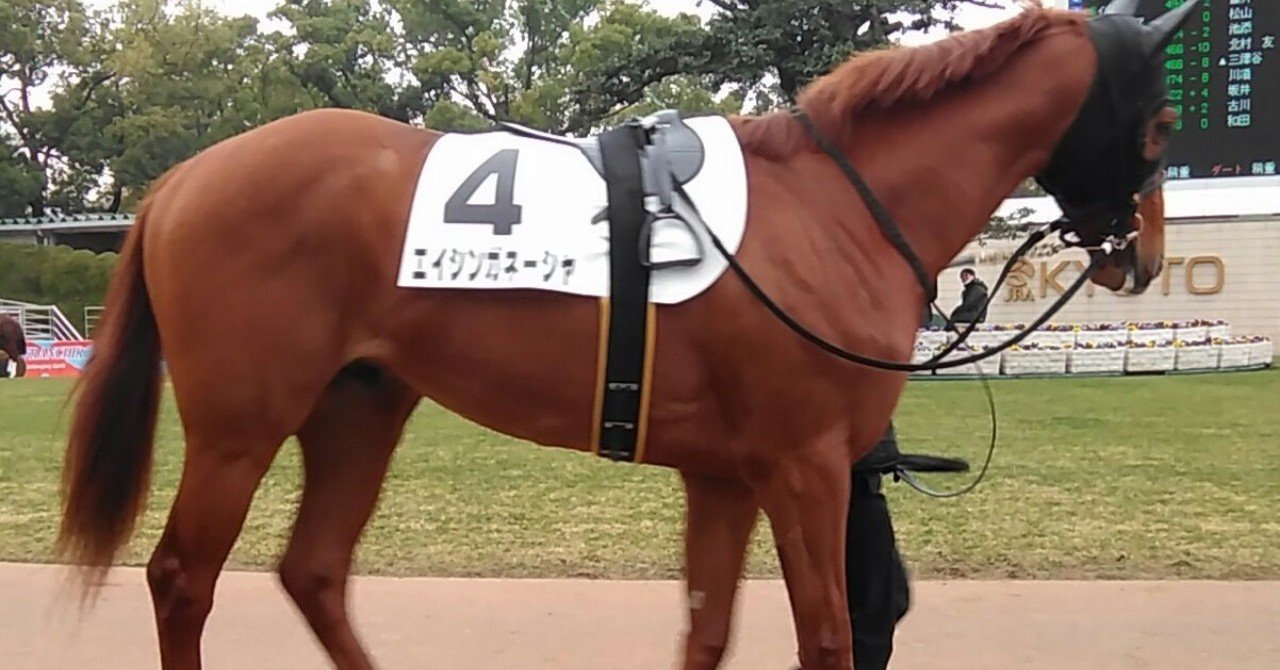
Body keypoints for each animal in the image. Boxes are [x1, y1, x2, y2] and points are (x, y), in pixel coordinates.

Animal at [56, 4, 1191, 669]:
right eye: (1163, 121)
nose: (1140, 253)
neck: (829, 208)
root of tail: (182, 178)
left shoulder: (728, 474)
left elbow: (708, 626)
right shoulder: (806, 466)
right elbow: (826, 634)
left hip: (360, 405)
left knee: (314, 571)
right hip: (241, 426)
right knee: (183, 577)